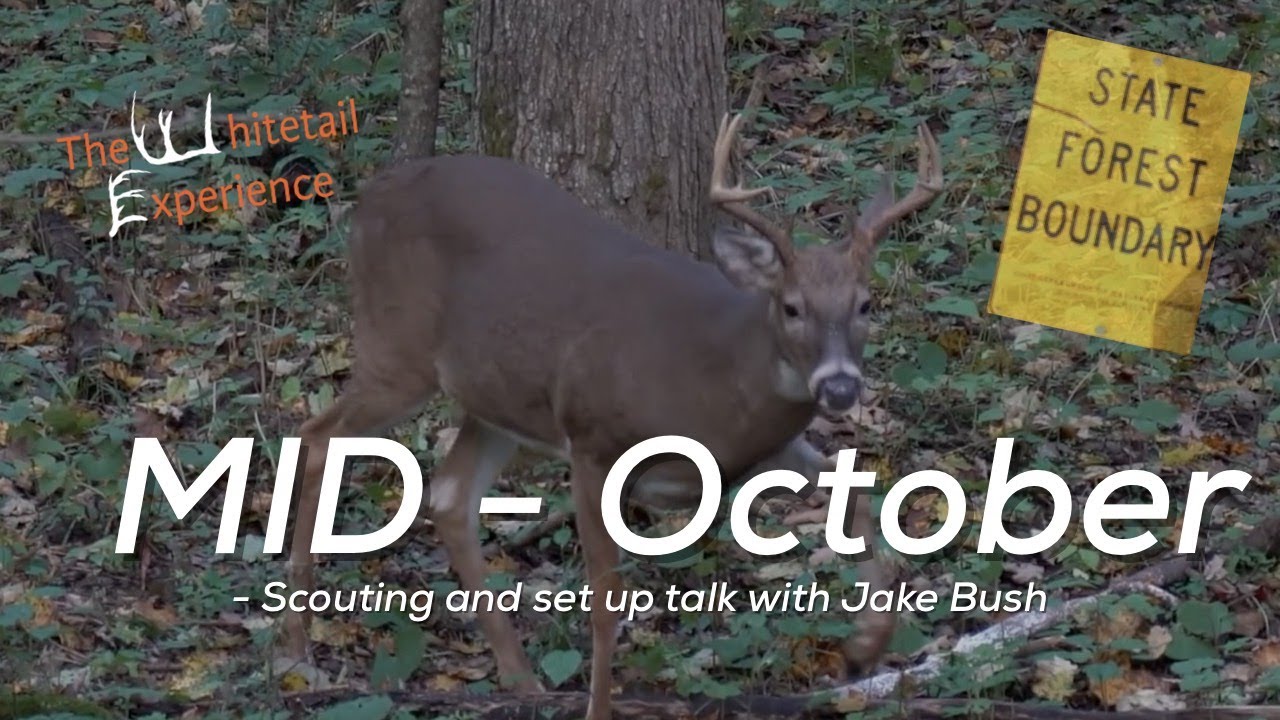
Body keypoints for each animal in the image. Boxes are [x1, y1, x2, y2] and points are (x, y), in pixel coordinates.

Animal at [280, 110, 944, 719]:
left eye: (865, 304)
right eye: (791, 307)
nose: (839, 386)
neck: (719, 378)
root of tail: (371, 193)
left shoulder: (773, 447)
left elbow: (862, 507)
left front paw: (864, 648)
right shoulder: (594, 440)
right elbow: (604, 599)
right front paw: (600, 707)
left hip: (494, 399)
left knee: (447, 495)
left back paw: (522, 681)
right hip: (398, 351)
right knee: (318, 434)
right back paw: (298, 651)